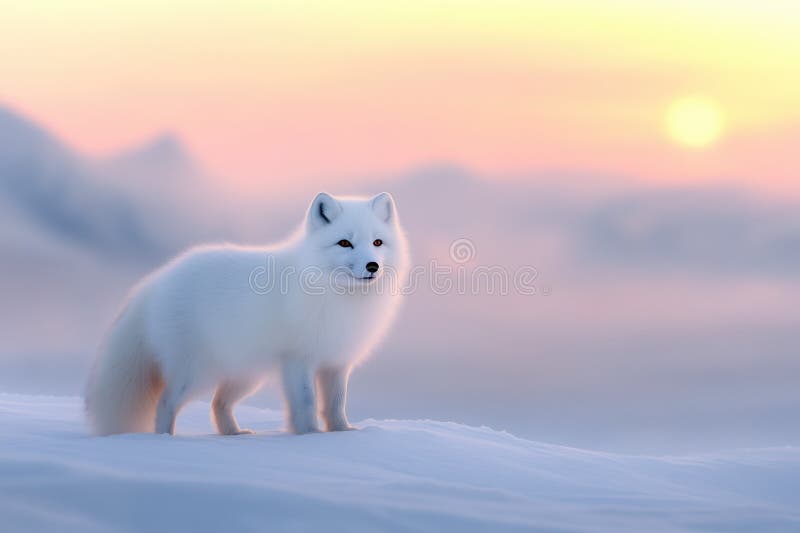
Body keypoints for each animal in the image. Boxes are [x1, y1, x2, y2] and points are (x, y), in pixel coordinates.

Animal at [85, 192, 408, 436]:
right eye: (344, 243)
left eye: (377, 242)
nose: (372, 266)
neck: (337, 295)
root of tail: (157, 280)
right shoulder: (298, 359)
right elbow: (306, 402)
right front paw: (310, 435)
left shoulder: (337, 362)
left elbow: (336, 405)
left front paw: (342, 433)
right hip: (197, 372)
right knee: (166, 403)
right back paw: (164, 439)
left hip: (245, 375)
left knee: (218, 404)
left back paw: (233, 434)